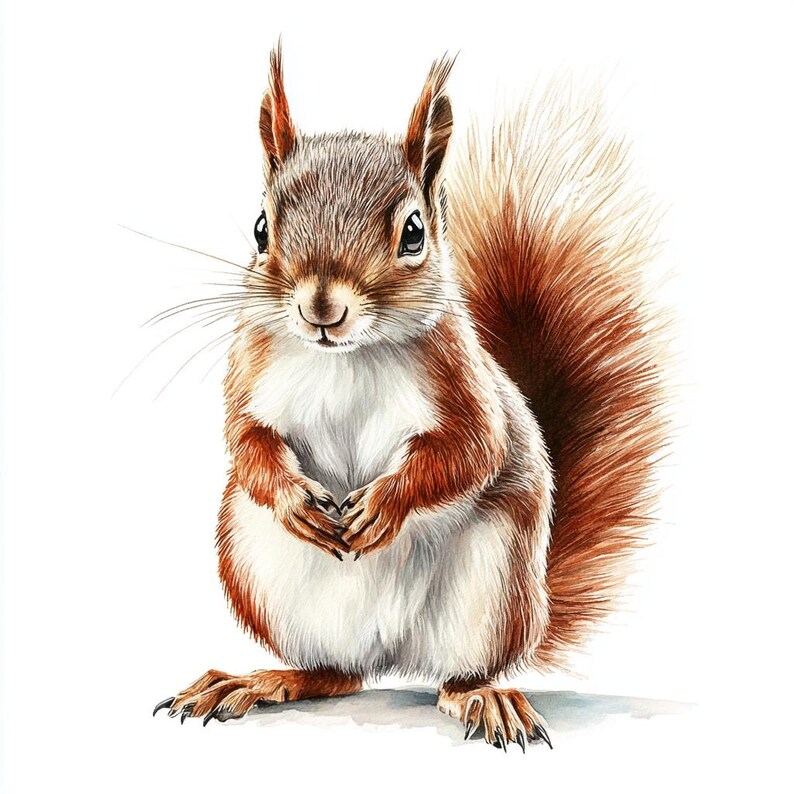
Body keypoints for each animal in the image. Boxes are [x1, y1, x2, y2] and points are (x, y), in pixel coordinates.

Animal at [153, 46, 667, 751]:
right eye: (260, 229)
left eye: (414, 233)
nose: (321, 307)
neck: (345, 357)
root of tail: (391, 651)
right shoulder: (250, 369)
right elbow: (246, 439)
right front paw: (295, 500)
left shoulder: (463, 384)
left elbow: (471, 450)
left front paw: (382, 505)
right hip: (260, 569)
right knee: (335, 674)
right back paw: (259, 681)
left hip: (492, 586)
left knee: (453, 677)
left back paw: (483, 697)